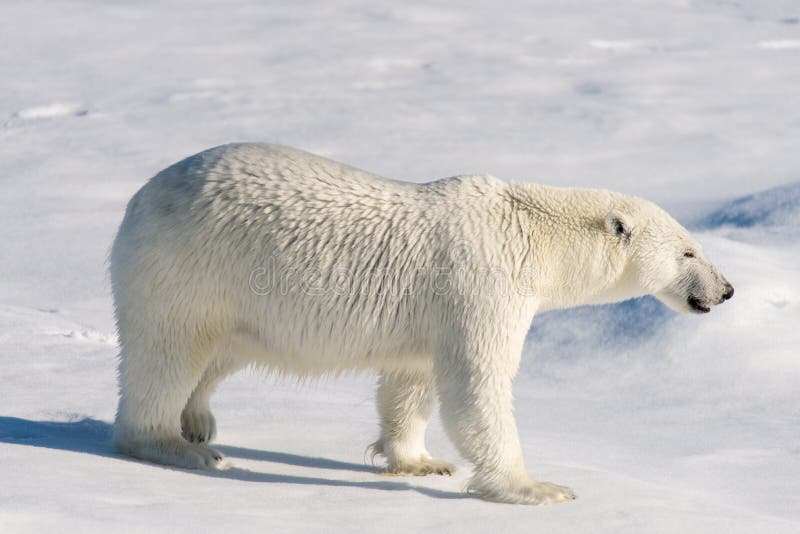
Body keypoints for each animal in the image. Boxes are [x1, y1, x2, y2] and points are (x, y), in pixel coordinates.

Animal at [110, 143, 734, 504]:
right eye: (688, 252)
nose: (725, 290)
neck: (528, 233)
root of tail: (140, 197)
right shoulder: (482, 282)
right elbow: (477, 384)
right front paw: (537, 488)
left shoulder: (431, 309)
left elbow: (412, 380)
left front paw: (420, 461)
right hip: (188, 267)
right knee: (167, 353)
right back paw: (176, 445)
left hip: (233, 296)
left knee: (220, 352)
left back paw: (198, 420)